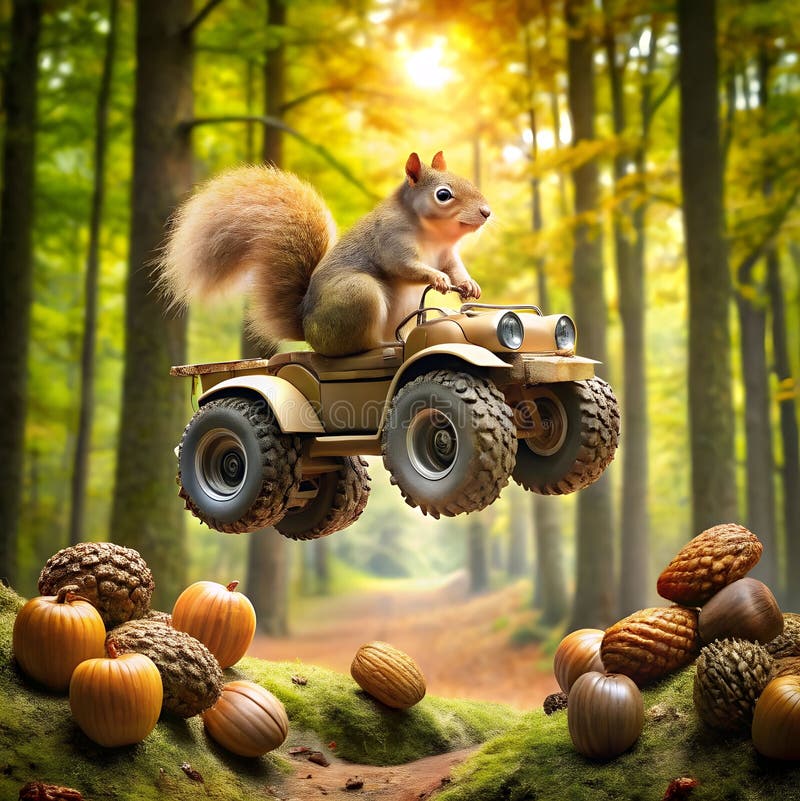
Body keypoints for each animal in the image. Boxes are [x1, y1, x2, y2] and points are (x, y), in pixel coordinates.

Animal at [158, 150, 491, 357]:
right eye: (443, 195)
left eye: (469, 181)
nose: (487, 212)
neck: (433, 235)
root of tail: (307, 327)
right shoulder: (390, 240)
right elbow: (405, 266)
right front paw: (438, 279)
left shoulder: (447, 253)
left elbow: (456, 268)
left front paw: (469, 285)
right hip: (358, 293)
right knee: (355, 346)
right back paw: (383, 346)